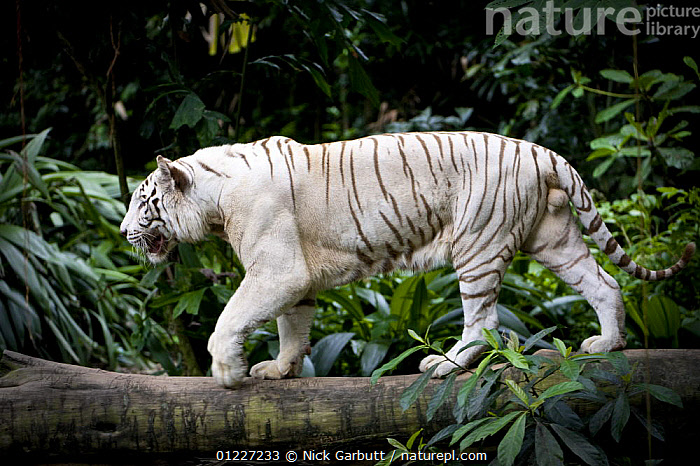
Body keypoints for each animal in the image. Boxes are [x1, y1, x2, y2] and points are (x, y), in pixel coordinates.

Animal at [120, 131, 695, 388]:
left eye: (143, 201)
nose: (124, 232)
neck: (214, 200)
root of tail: (540, 150)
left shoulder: (277, 269)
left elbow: (231, 318)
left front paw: (228, 370)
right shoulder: (293, 278)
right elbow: (292, 325)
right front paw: (280, 369)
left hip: (477, 244)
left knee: (484, 322)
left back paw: (445, 364)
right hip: (554, 240)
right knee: (604, 283)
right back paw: (607, 343)